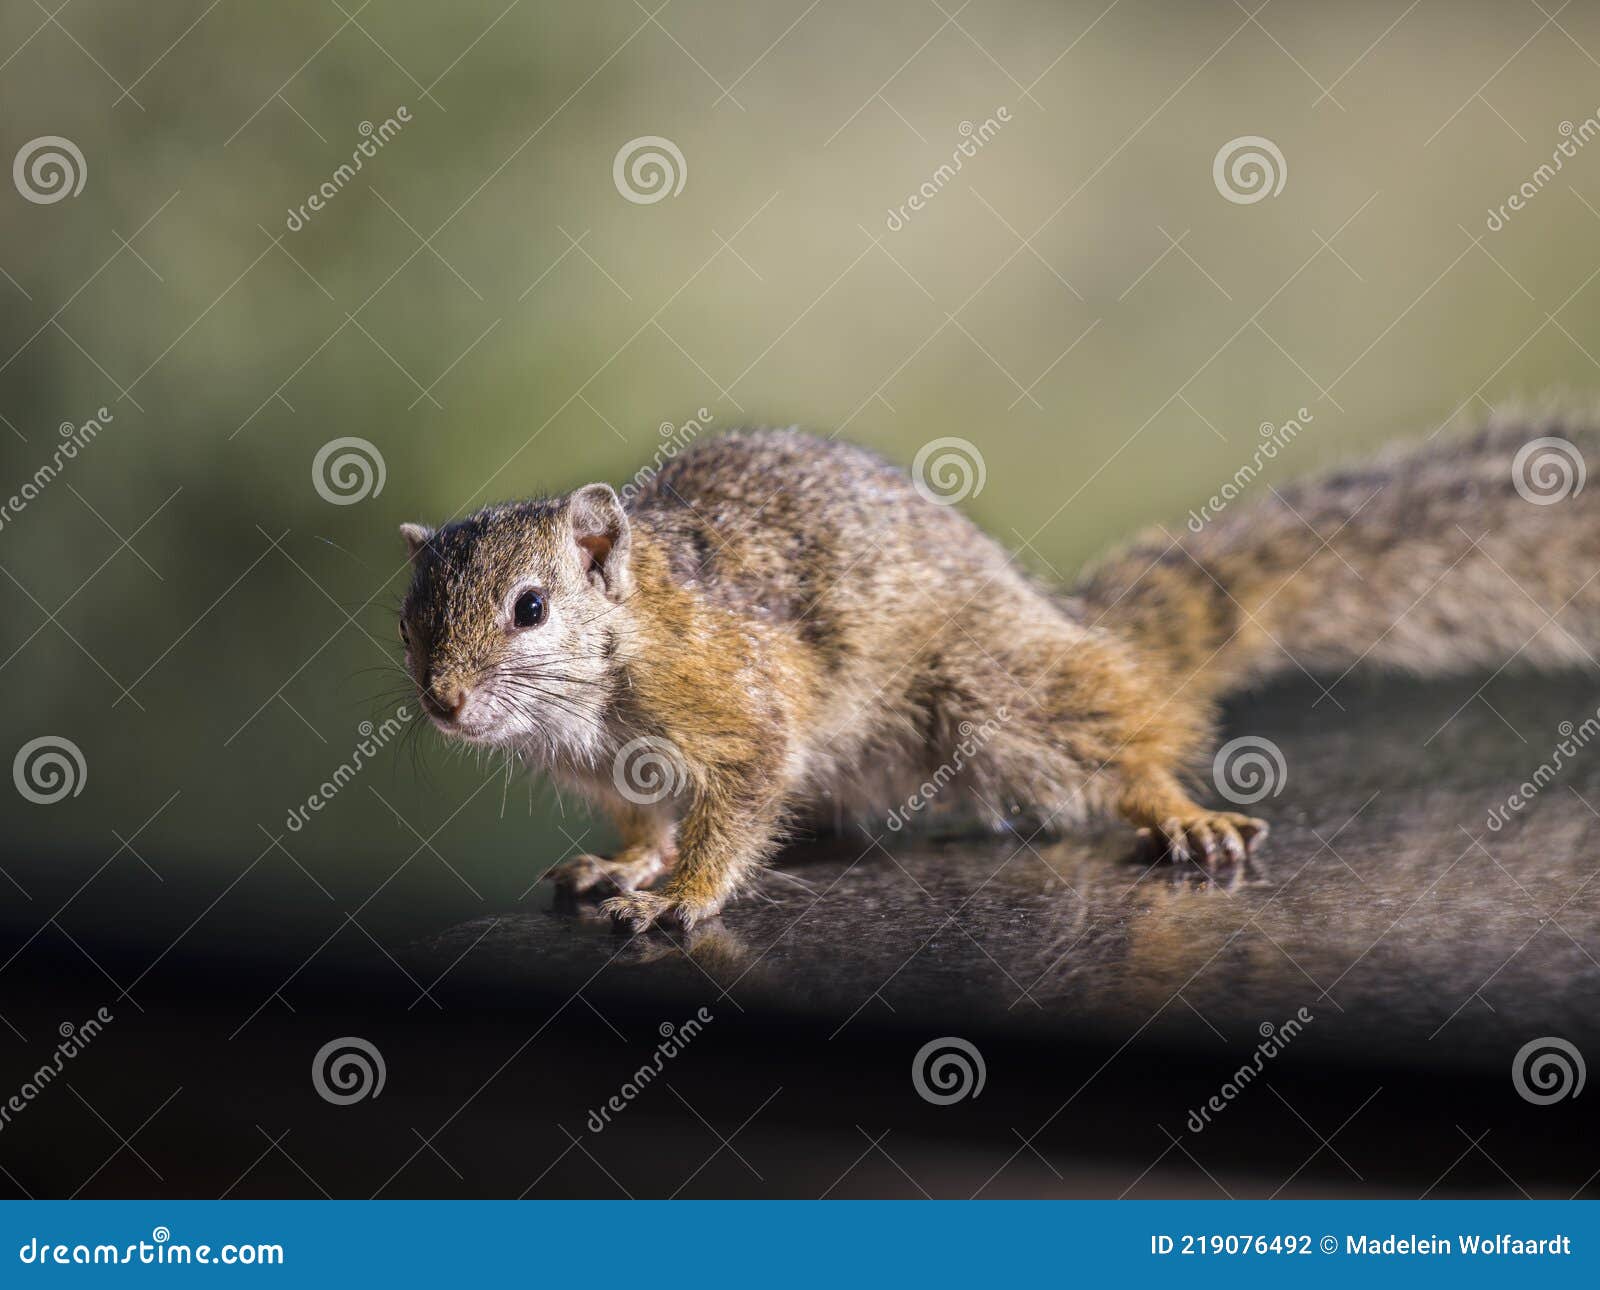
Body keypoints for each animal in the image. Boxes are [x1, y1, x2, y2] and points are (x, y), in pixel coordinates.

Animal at [396, 410, 1599, 932]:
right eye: (407, 623)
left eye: (530, 607)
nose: (443, 704)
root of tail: (1052, 617)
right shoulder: (613, 771)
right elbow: (646, 820)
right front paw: (625, 865)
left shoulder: (734, 705)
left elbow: (737, 804)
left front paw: (684, 895)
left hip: (994, 693)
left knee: (1116, 742)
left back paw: (1174, 809)